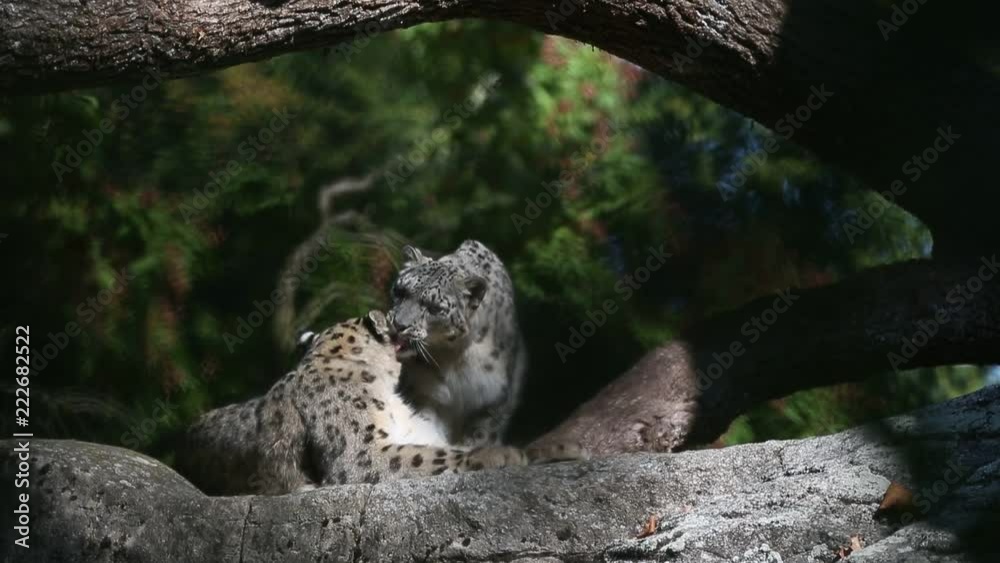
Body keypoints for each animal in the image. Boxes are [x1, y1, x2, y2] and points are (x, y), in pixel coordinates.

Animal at [389, 239, 528, 447]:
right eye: (400, 291)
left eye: (434, 308)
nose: (399, 325)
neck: (454, 358)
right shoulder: (425, 393)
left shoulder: (491, 403)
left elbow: (480, 440)